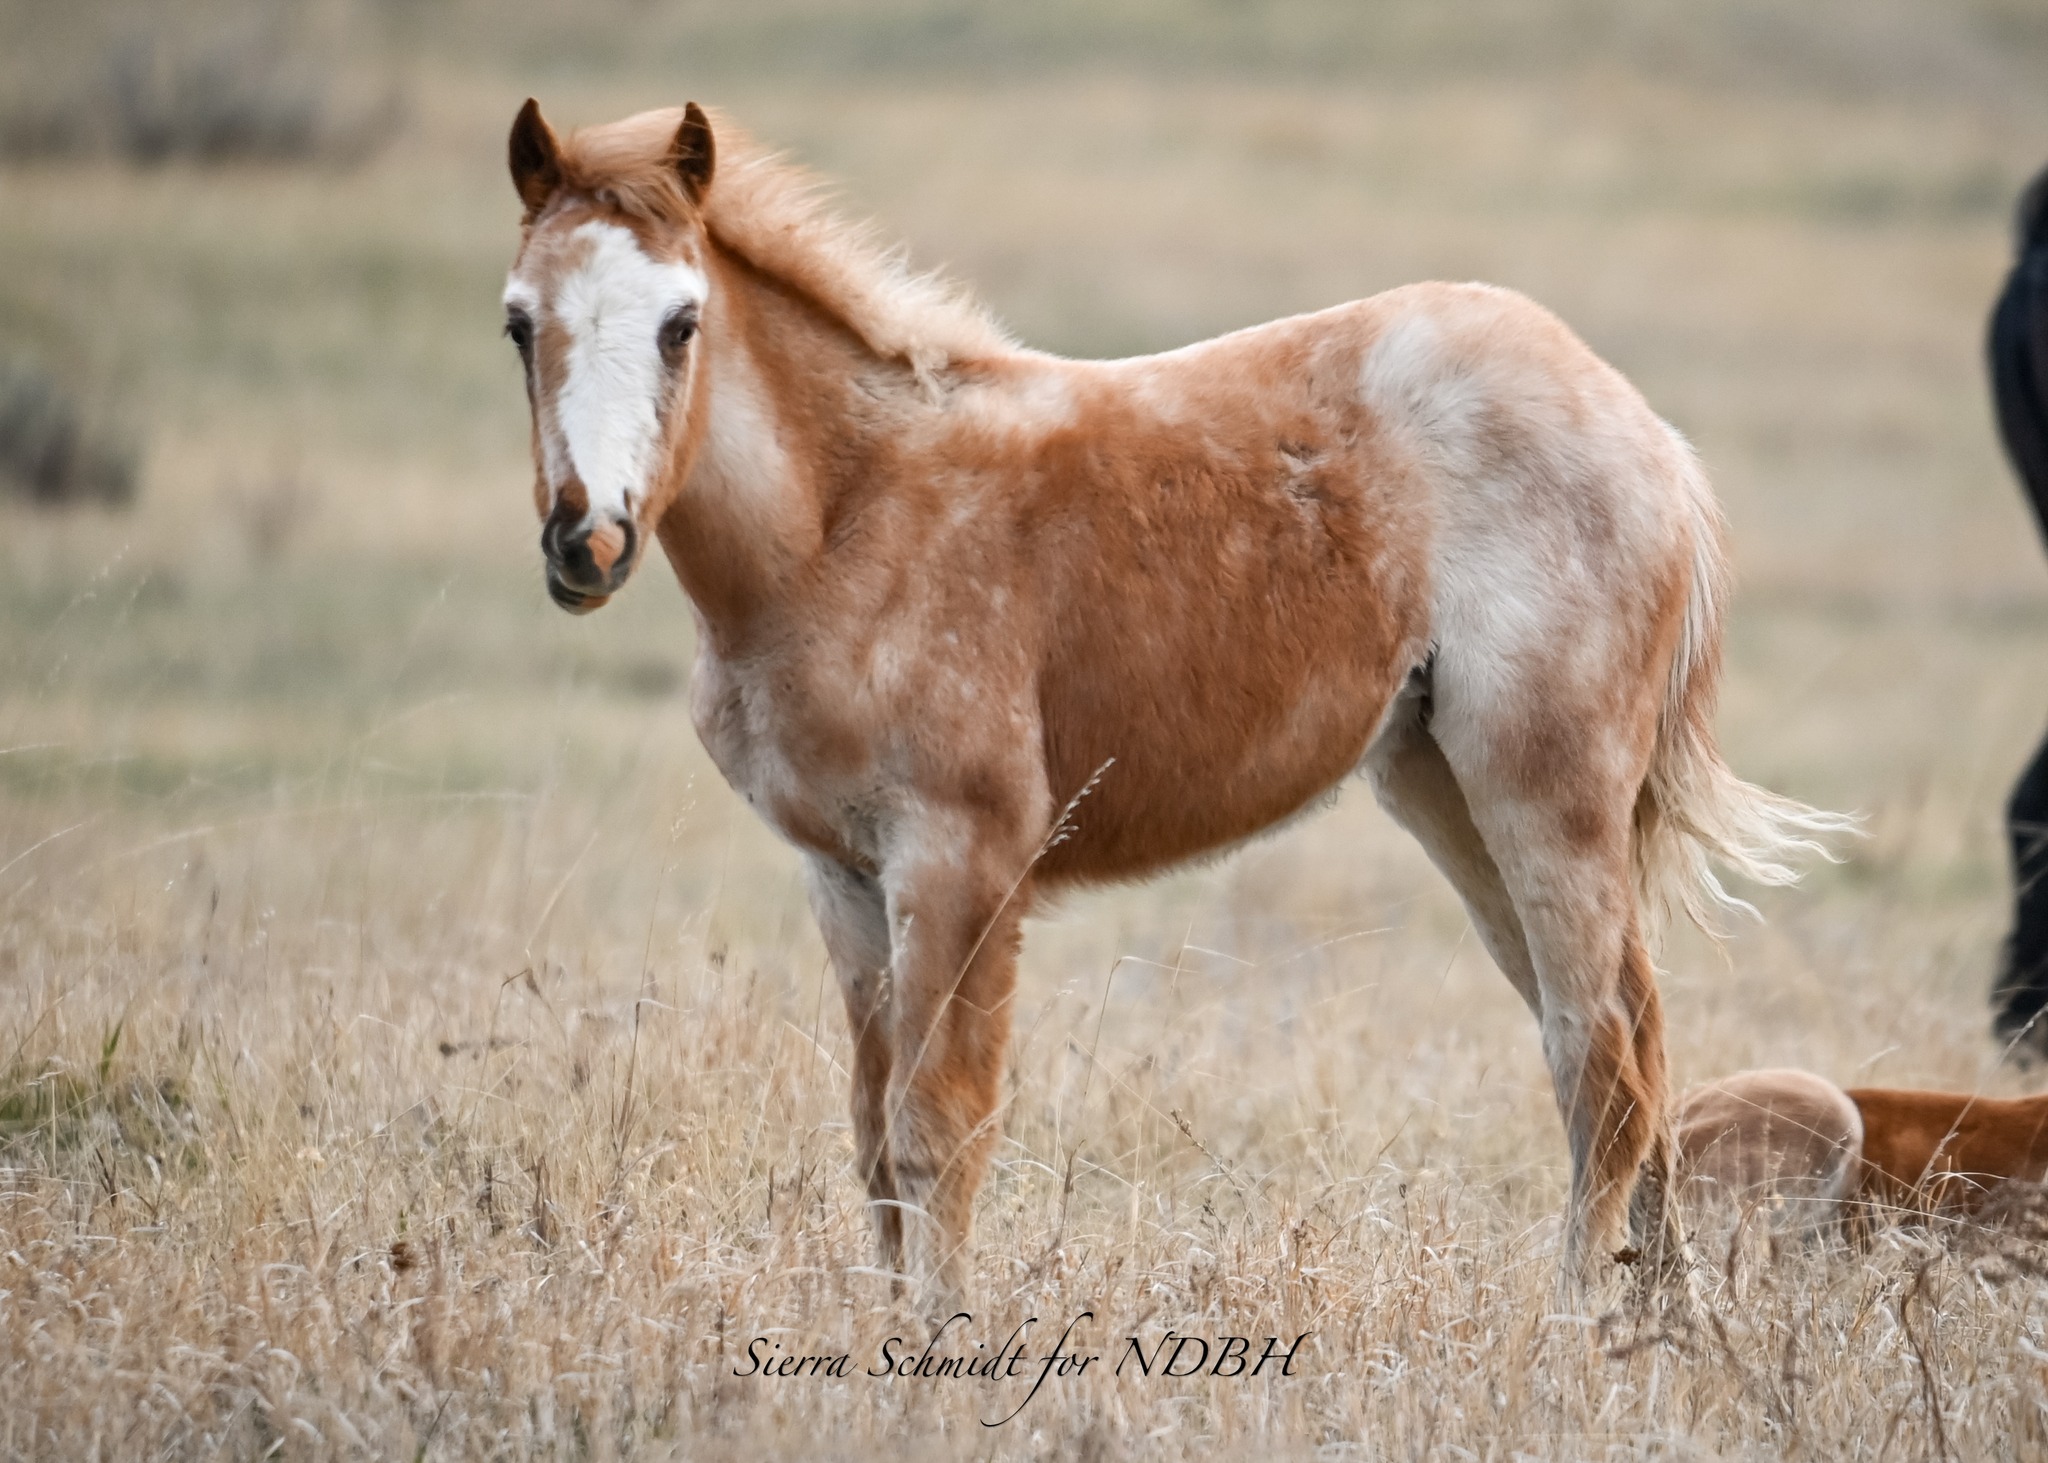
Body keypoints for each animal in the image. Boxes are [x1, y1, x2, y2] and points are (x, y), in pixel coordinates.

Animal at [497, 99, 1847, 1304]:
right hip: (1444, 789)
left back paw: (1572, 1326)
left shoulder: (961, 860)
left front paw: (934, 1345)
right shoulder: (841, 871)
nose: (586, 543)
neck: (846, 521)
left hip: (1541, 788)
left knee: (1597, 1058)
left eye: (681, 322)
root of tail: (1644, 434)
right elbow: (875, 1140)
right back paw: (1661, 1315)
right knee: (1636, 1040)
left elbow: (939, 1128)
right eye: (517, 323)